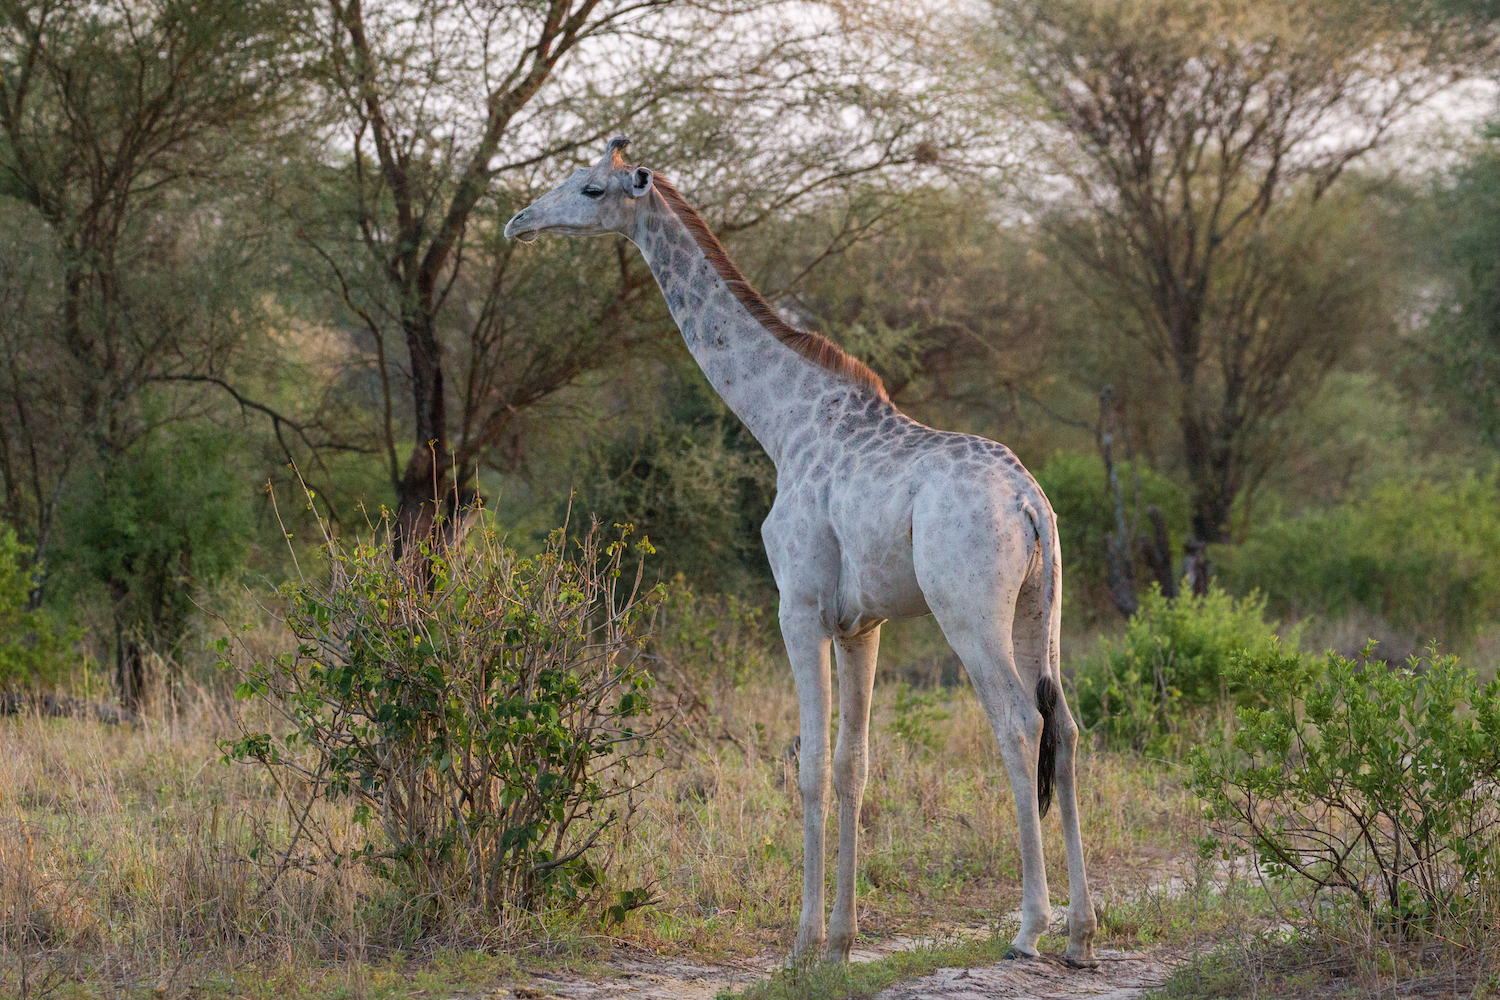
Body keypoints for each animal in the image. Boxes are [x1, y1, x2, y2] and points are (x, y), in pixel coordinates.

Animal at [505, 138, 1098, 968]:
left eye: (590, 189)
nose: (518, 222)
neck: (781, 422)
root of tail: (1028, 504)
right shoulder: (861, 624)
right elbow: (854, 764)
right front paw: (844, 939)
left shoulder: (800, 607)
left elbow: (811, 764)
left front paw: (802, 941)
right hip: (1041, 605)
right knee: (1066, 727)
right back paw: (1081, 931)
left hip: (968, 609)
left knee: (1019, 725)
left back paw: (1029, 928)